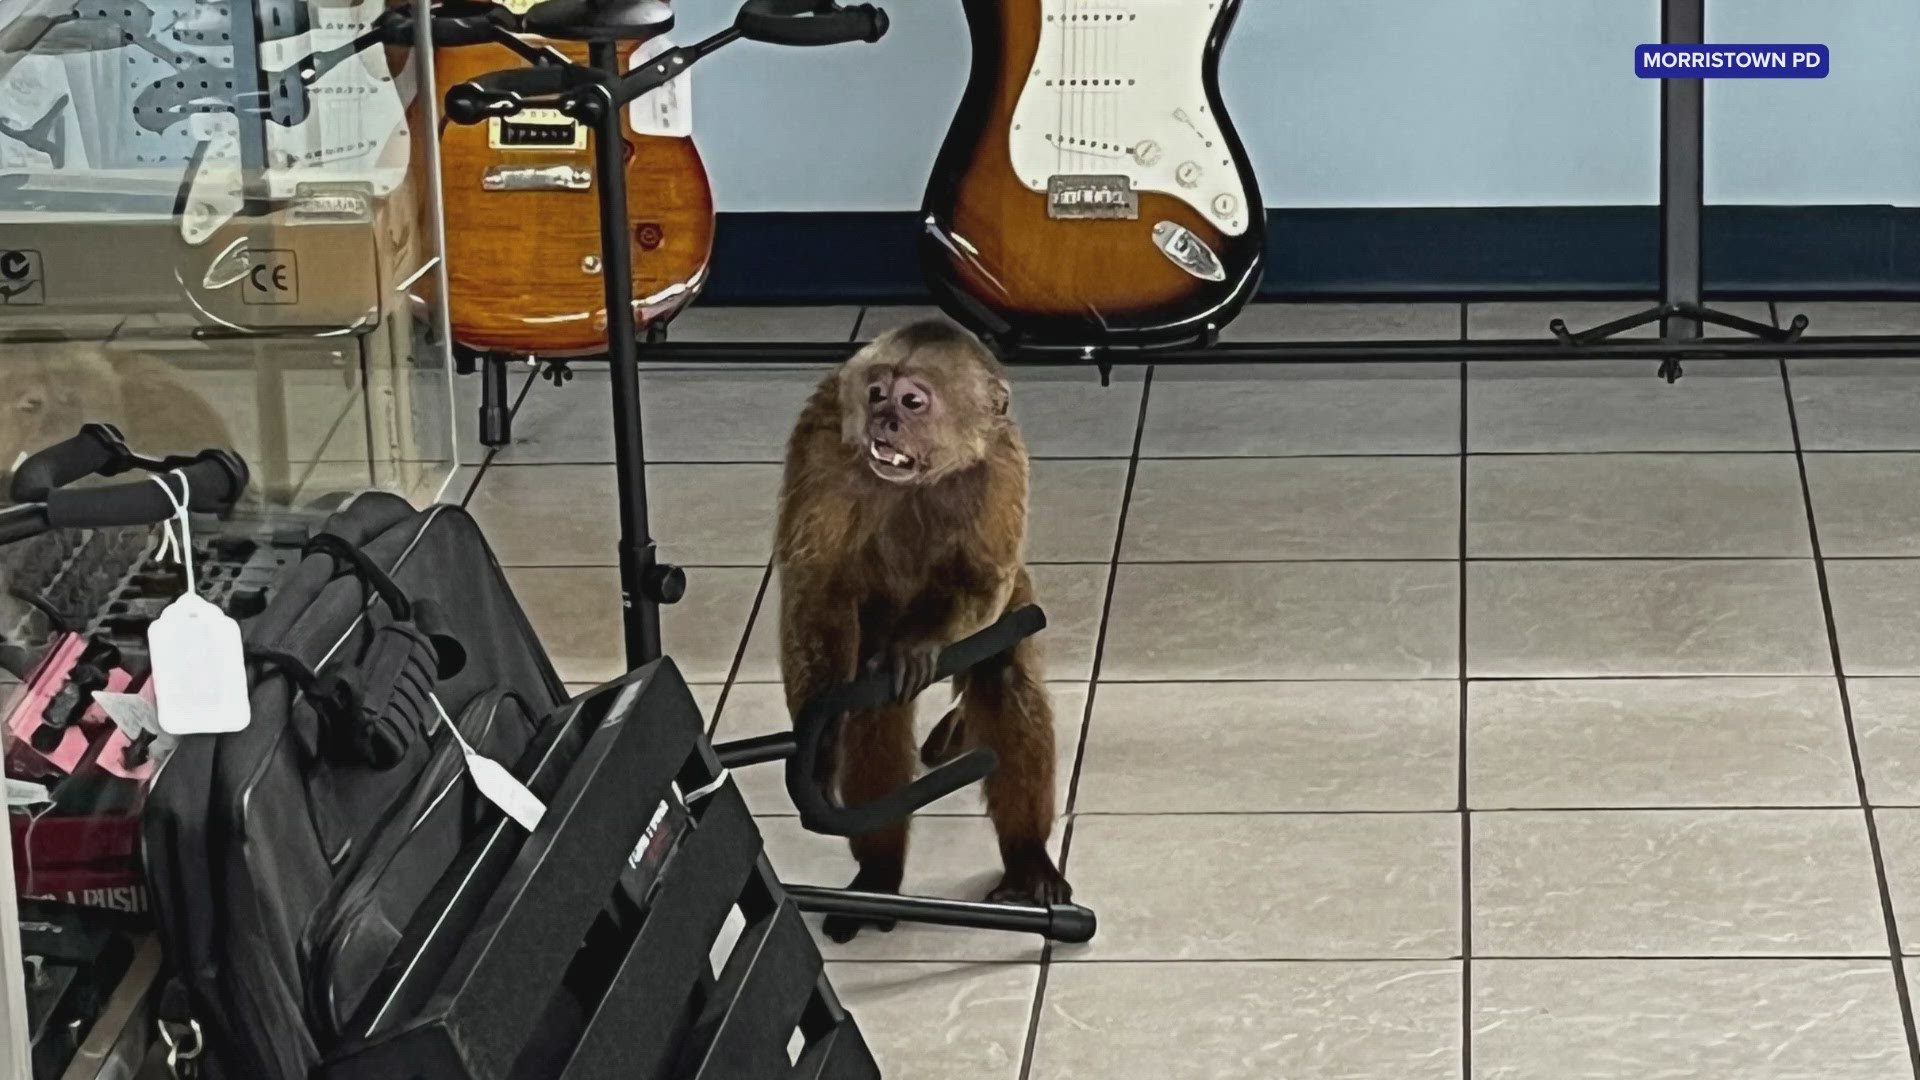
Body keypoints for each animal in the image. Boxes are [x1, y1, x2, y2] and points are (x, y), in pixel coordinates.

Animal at [775, 319, 1070, 943]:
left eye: (912, 401)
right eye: (876, 395)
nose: (885, 420)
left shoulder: (1000, 459)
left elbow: (985, 581)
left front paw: (917, 650)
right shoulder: (822, 445)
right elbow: (814, 591)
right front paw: (819, 751)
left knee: (1005, 673)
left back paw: (1028, 861)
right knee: (873, 710)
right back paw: (879, 877)